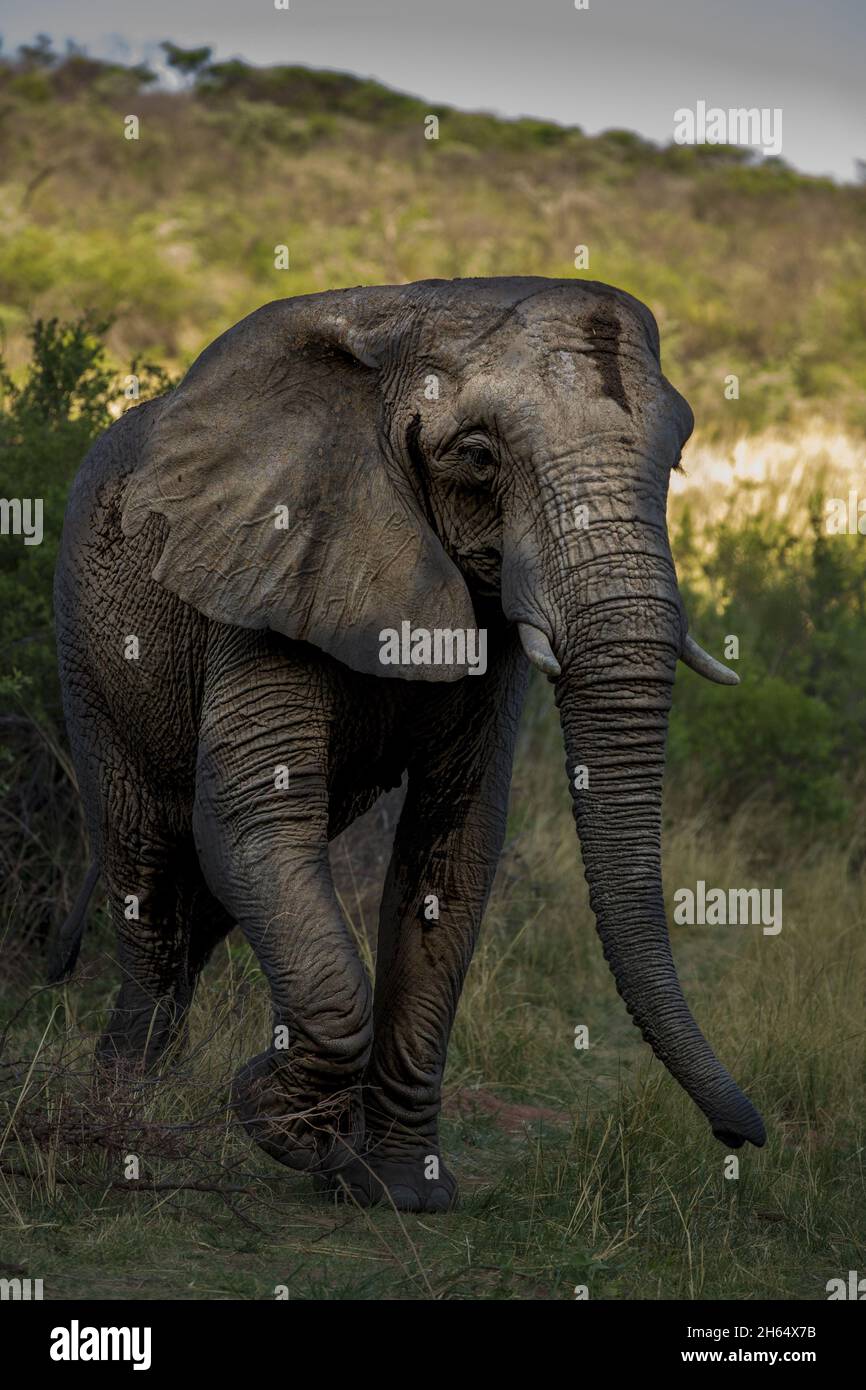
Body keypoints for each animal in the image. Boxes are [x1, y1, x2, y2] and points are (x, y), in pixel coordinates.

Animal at [52, 276, 766, 1213]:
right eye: (477, 457)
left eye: (677, 462)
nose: (743, 1135)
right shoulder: (269, 552)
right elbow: (253, 819)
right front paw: (280, 1120)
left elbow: (454, 839)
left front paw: (399, 1191)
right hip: (94, 665)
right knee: (154, 891)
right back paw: (117, 1132)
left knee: (201, 909)